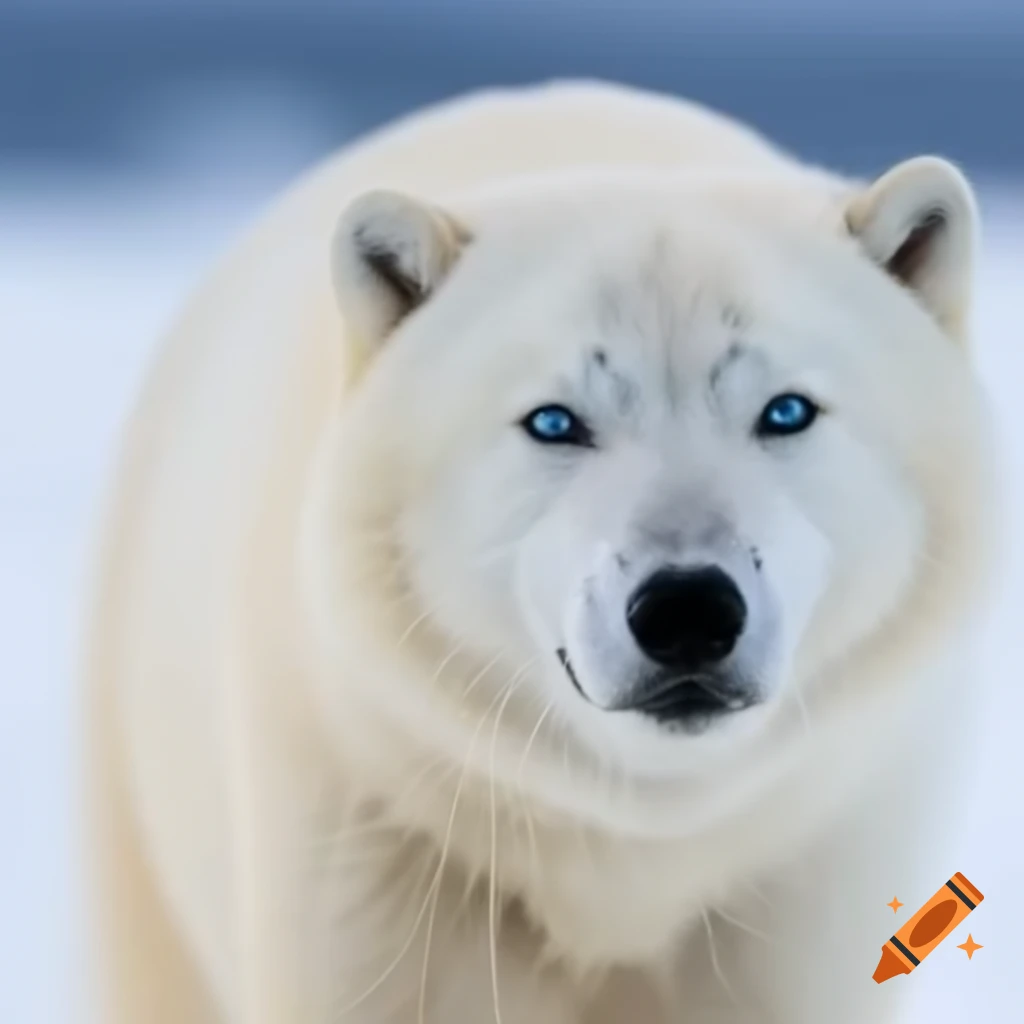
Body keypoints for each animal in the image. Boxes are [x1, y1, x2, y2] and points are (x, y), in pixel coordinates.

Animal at [83, 80, 998, 1024]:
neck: (631, 847)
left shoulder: (803, 878)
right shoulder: (375, 845)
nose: (688, 610)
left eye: (786, 410)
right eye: (556, 420)